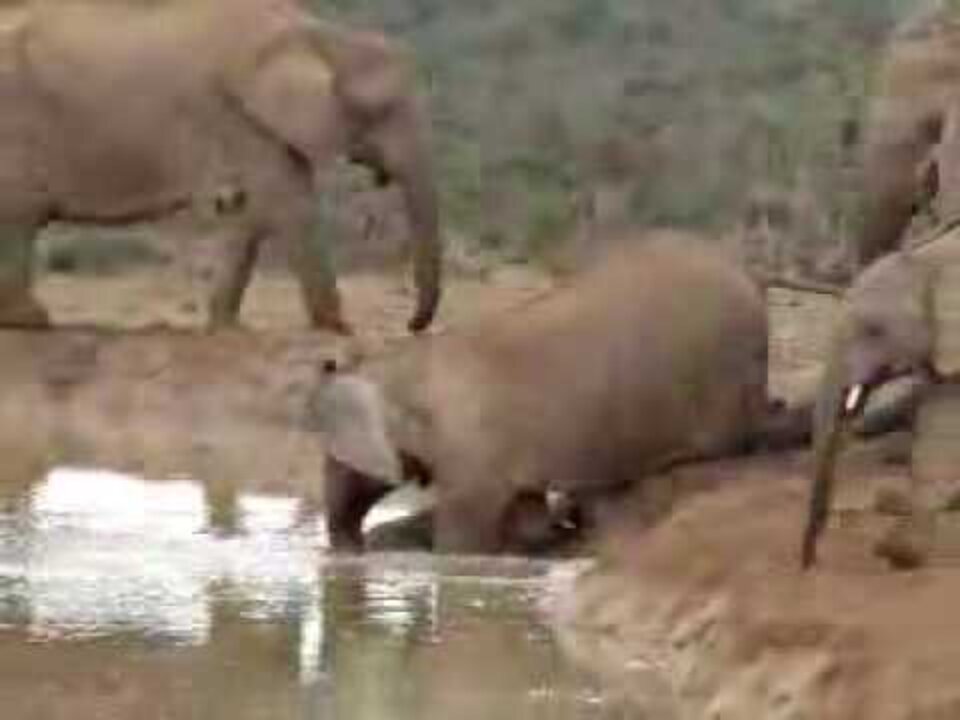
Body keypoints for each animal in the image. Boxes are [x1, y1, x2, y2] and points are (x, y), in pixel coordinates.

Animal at [0, 0, 441, 333]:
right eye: (380, 110)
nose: (411, 325)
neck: (319, 34)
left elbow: (250, 213)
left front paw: (225, 327)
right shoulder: (238, 113)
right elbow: (289, 203)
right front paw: (339, 329)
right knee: (17, 216)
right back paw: (31, 321)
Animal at [309, 231, 804, 555]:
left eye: (340, 463)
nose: (347, 553)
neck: (399, 367)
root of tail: (751, 278)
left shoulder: (473, 453)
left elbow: (463, 539)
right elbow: (527, 521)